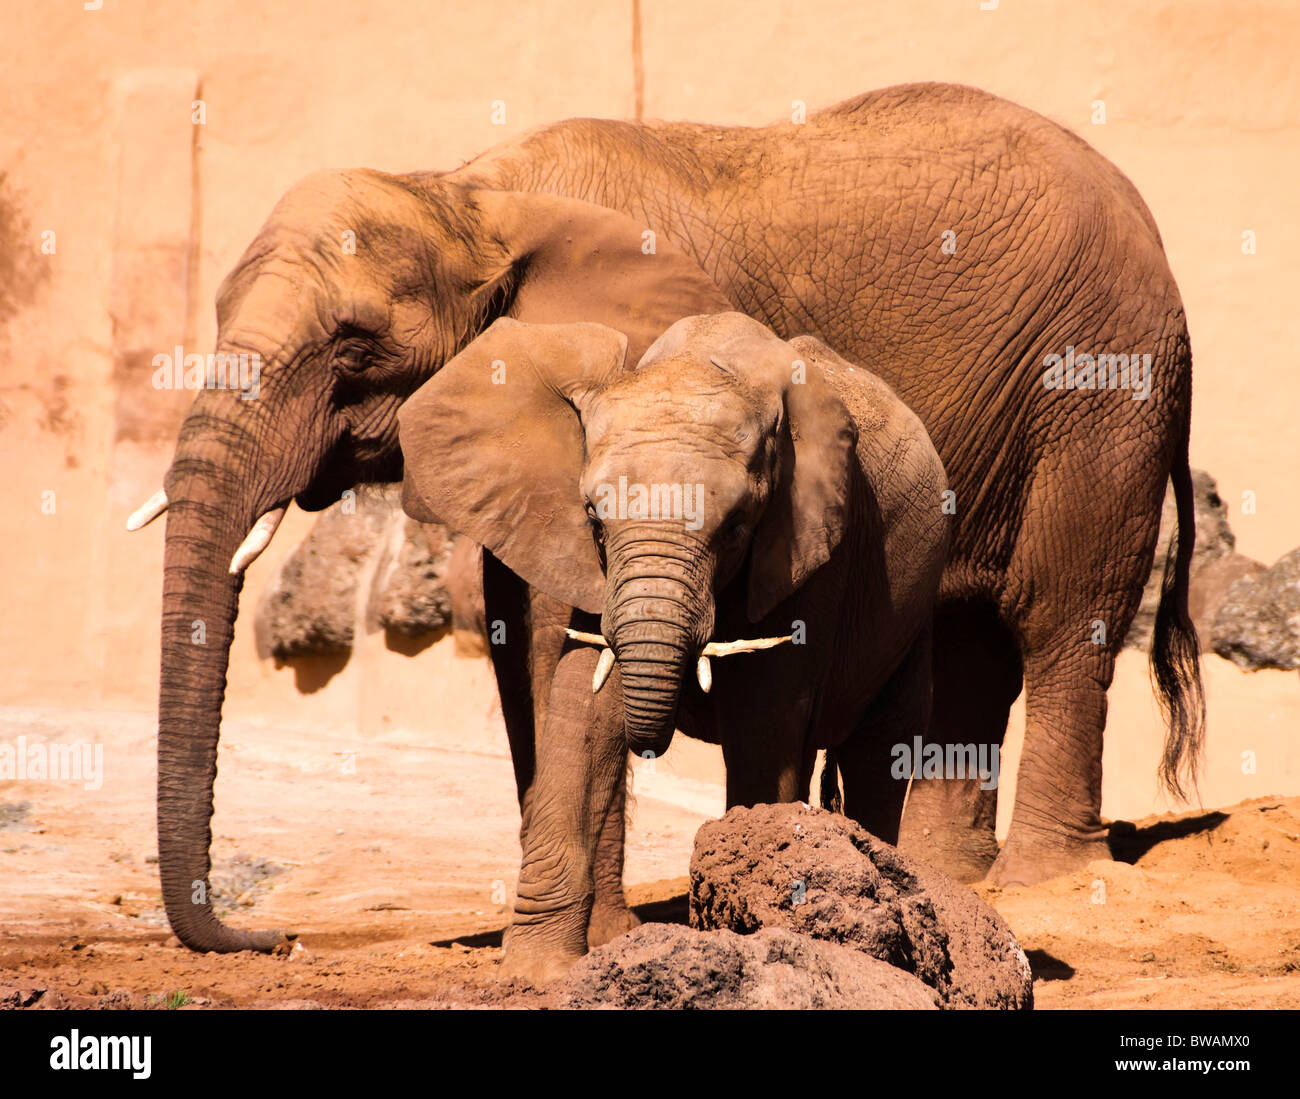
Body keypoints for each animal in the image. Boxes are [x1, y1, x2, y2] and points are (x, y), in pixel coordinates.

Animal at [396, 312, 950, 975]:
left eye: (736, 527)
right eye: (593, 517)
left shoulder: (814, 546)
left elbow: (765, 720)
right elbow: (584, 704)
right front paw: (536, 972)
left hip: (912, 609)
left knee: (879, 749)